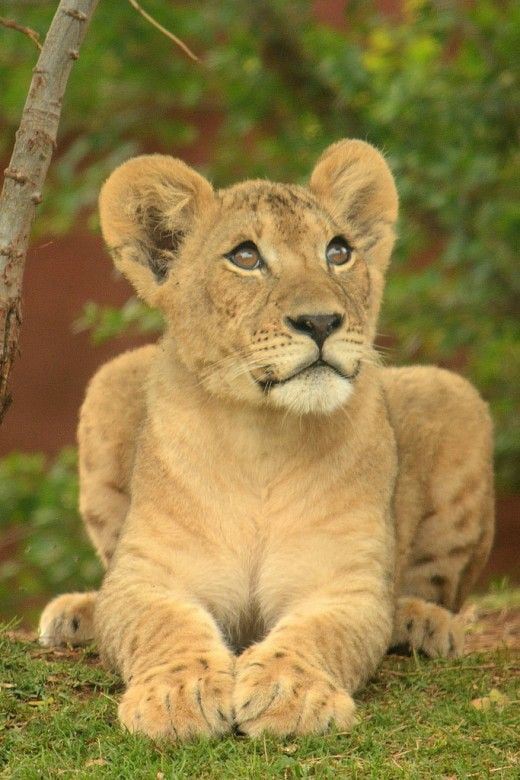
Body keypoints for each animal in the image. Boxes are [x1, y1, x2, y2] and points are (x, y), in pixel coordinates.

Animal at [39, 140, 494, 739]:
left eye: (339, 251)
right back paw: (77, 614)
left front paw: (290, 691)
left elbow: (319, 634)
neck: (264, 436)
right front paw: (176, 695)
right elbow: (160, 624)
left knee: (439, 587)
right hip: (110, 381)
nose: (321, 321)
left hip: (453, 394)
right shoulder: (148, 576)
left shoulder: (342, 583)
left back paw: (420, 621)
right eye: (246, 257)